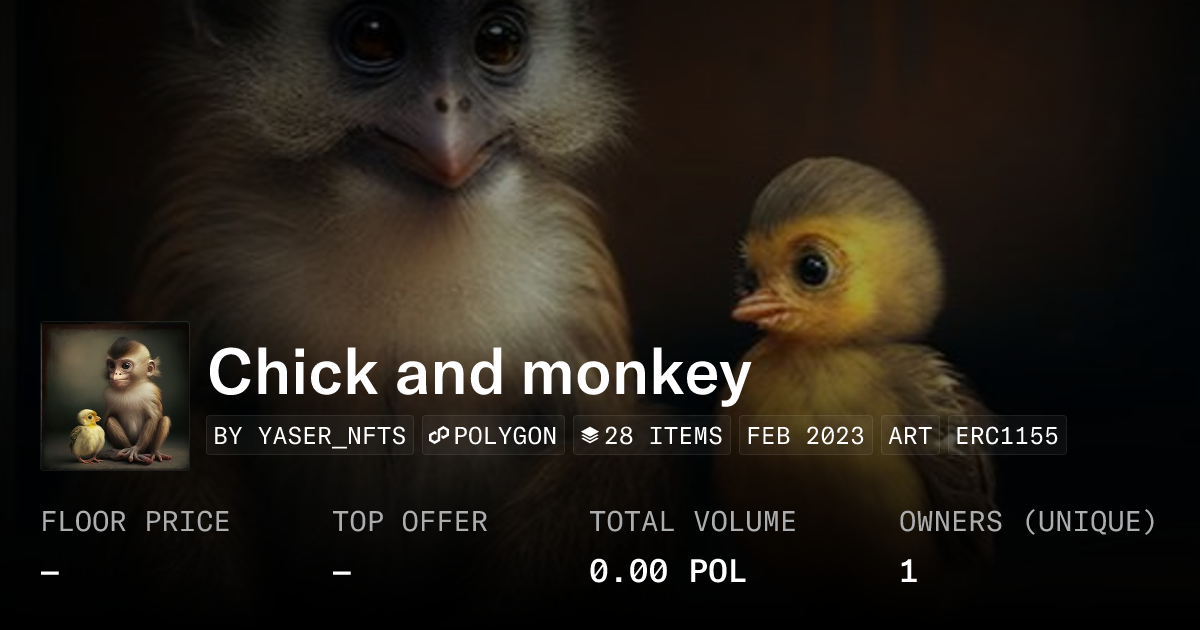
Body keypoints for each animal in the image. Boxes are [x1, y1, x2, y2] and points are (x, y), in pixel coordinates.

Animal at [101, 336, 173, 465]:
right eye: (112, 365)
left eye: (125, 365)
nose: (115, 373)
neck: (130, 388)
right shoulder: (108, 393)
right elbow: (106, 420)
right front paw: (125, 452)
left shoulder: (151, 392)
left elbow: (153, 418)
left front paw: (135, 449)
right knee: (110, 420)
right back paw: (117, 454)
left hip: (148, 446)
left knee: (165, 420)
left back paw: (154, 452)